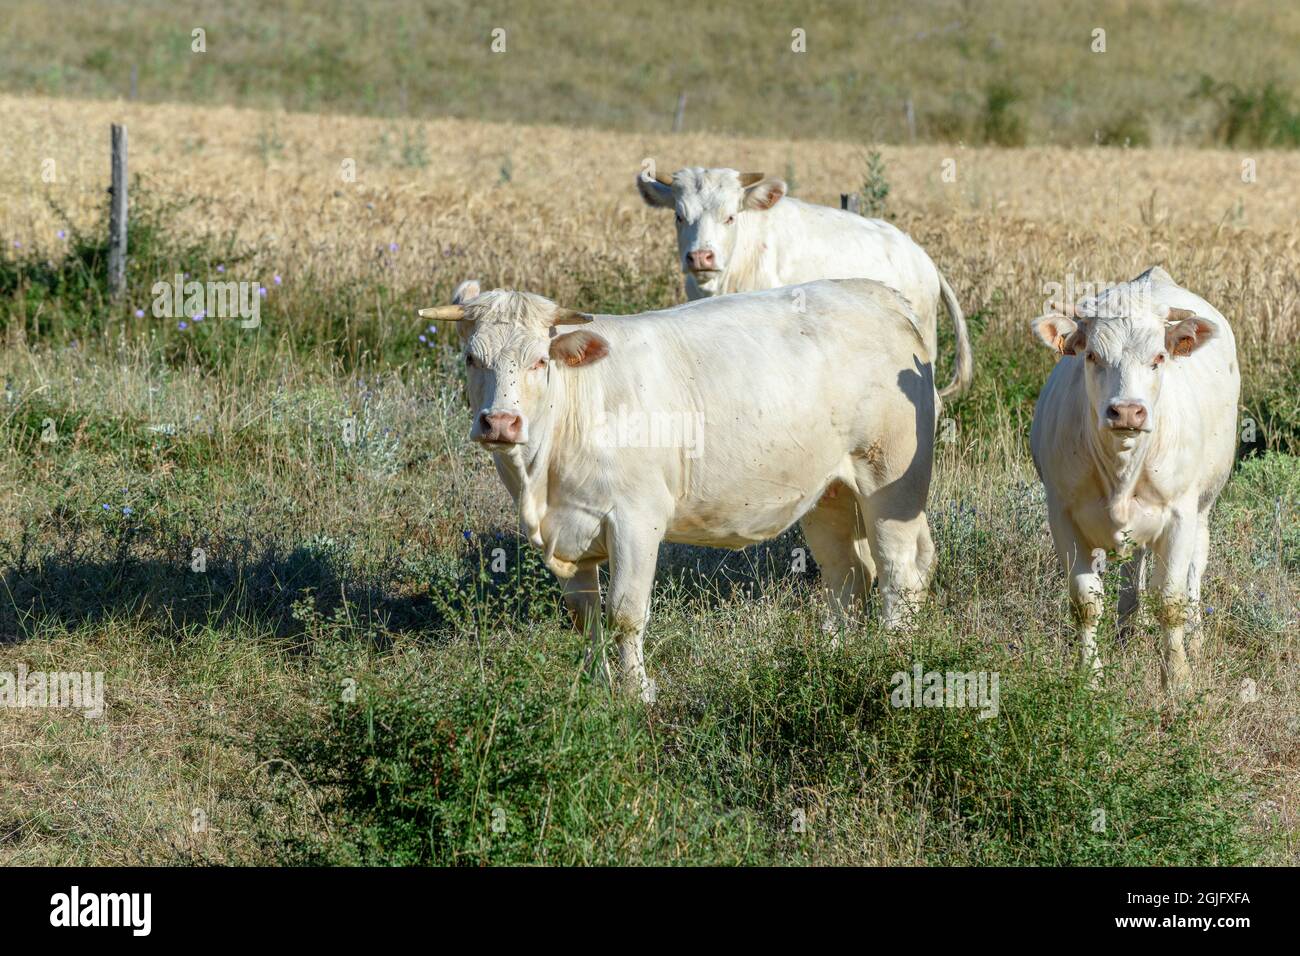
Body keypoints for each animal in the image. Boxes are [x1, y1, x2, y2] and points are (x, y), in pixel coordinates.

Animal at [421, 277, 938, 701]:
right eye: (471, 358)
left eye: (540, 360)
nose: (500, 422)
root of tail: (878, 293)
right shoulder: (565, 532)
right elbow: (585, 617)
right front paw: (594, 686)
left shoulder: (635, 519)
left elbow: (625, 612)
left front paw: (636, 693)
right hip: (829, 493)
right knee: (848, 574)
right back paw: (833, 655)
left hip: (890, 481)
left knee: (900, 573)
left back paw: (891, 655)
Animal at [1029, 266, 1240, 693]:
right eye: (1092, 356)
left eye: (1158, 357)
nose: (1127, 411)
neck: (1121, 470)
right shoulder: (1062, 516)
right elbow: (1086, 602)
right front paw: (1089, 678)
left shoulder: (1180, 516)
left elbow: (1171, 600)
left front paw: (1177, 677)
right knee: (1134, 569)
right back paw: (1128, 630)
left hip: (1204, 505)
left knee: (1195, 568)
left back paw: (1195, 638)